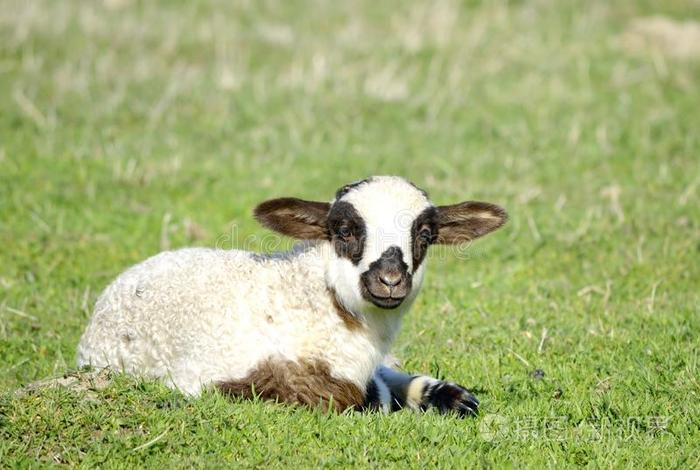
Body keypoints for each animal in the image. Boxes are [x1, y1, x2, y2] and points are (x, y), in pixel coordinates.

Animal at [78, 175, 508, 414]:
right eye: (343, 230)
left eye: (425, 235)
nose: (389, 279)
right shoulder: (218, 377)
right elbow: (354, 397)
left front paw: (446, 395)